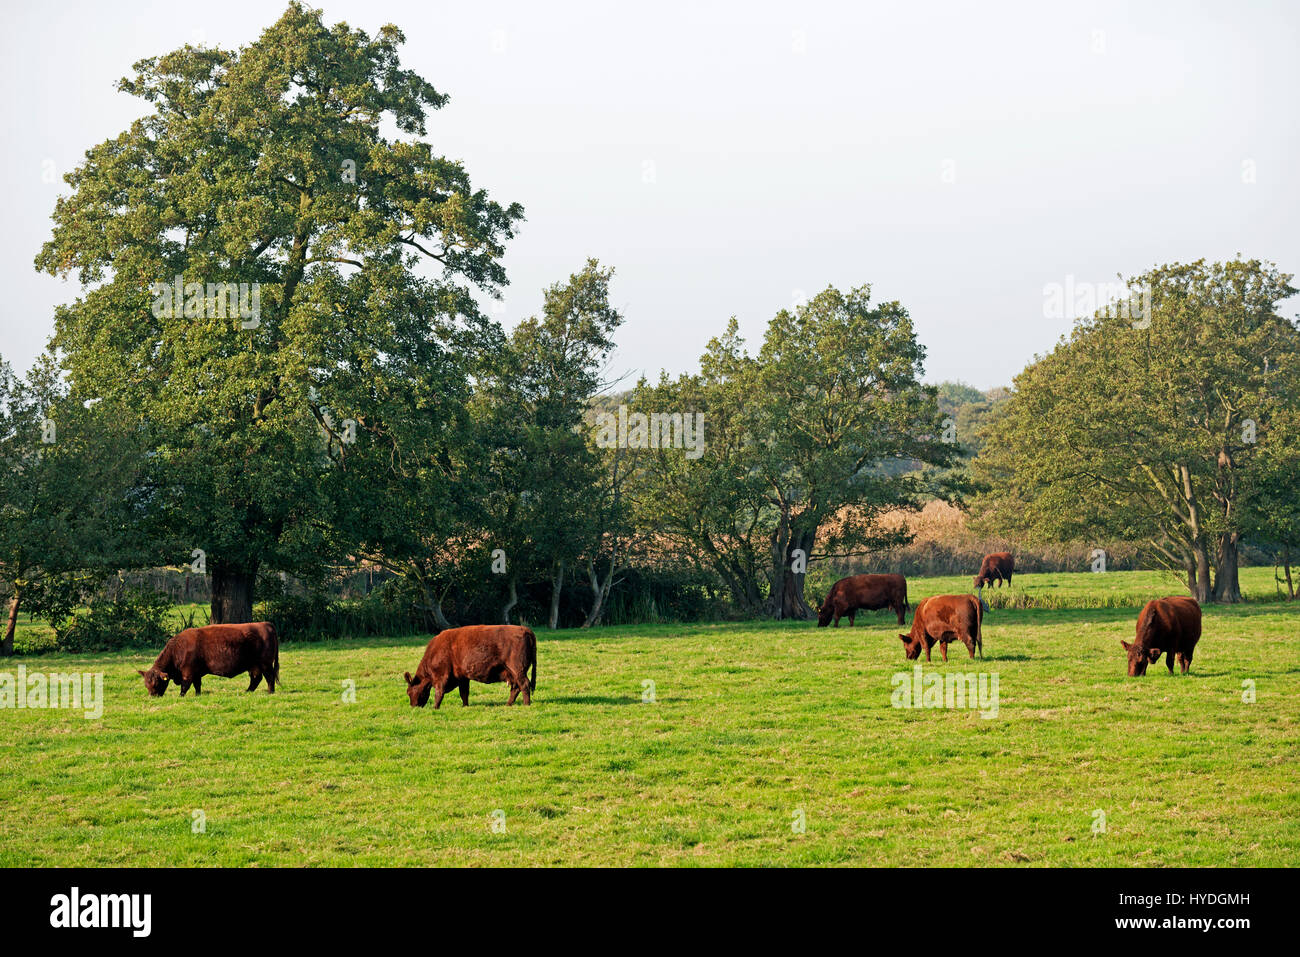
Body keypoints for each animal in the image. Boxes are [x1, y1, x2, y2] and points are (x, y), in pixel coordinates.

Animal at [138, 621, 280, 697]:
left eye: (156, 683)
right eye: (146, 684)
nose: (153, 697)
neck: (178, 649)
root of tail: (265, 624)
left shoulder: (188, 673)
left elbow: (185, 687)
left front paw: (181, 696)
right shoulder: (196, 674)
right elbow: (197, 686)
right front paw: (198, 695)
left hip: (265, 664)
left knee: (269, 677)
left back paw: (270, 692)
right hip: (254, 665)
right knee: (256, 679)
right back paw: (247, 691)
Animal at [405, 624, 537, 708]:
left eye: (409, 692)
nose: (413, 707)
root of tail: (525, 629)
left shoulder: (441, 676)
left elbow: (439, 692)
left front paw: (435, 707)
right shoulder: (462, 677)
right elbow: (464, 693)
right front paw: (465, 706)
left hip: (518, 669)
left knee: (525, 684)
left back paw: (526, 704)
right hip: (512, 673)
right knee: (516, 688)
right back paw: (508, 704)